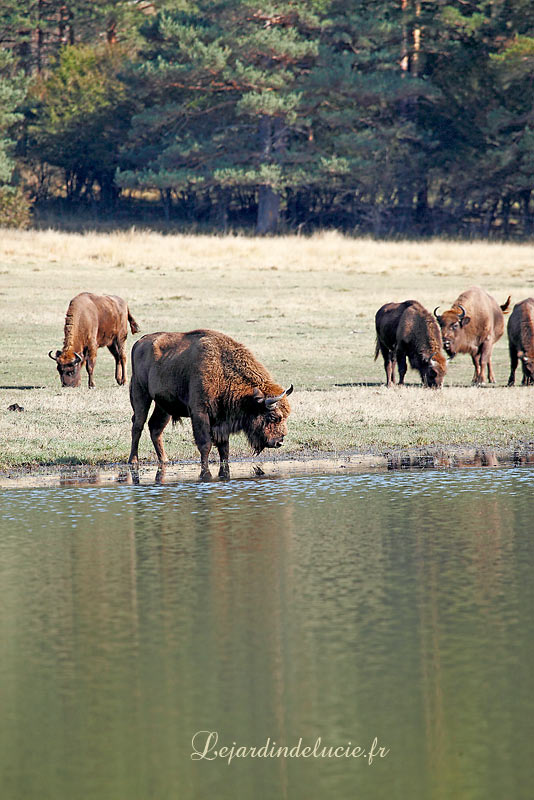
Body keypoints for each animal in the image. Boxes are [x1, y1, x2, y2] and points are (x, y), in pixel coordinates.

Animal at [128, 329, 293, 479]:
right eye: (274, 417)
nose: (279, 441)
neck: (221, 369)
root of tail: (139, 342)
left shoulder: (222, 421)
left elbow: (224, 448)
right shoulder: (200, 414)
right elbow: (205, 445)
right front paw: (205, 471)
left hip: (163, 406)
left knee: (155, 428)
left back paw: (165, 460)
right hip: (141, 393)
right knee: (138, 426)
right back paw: (133, 460)